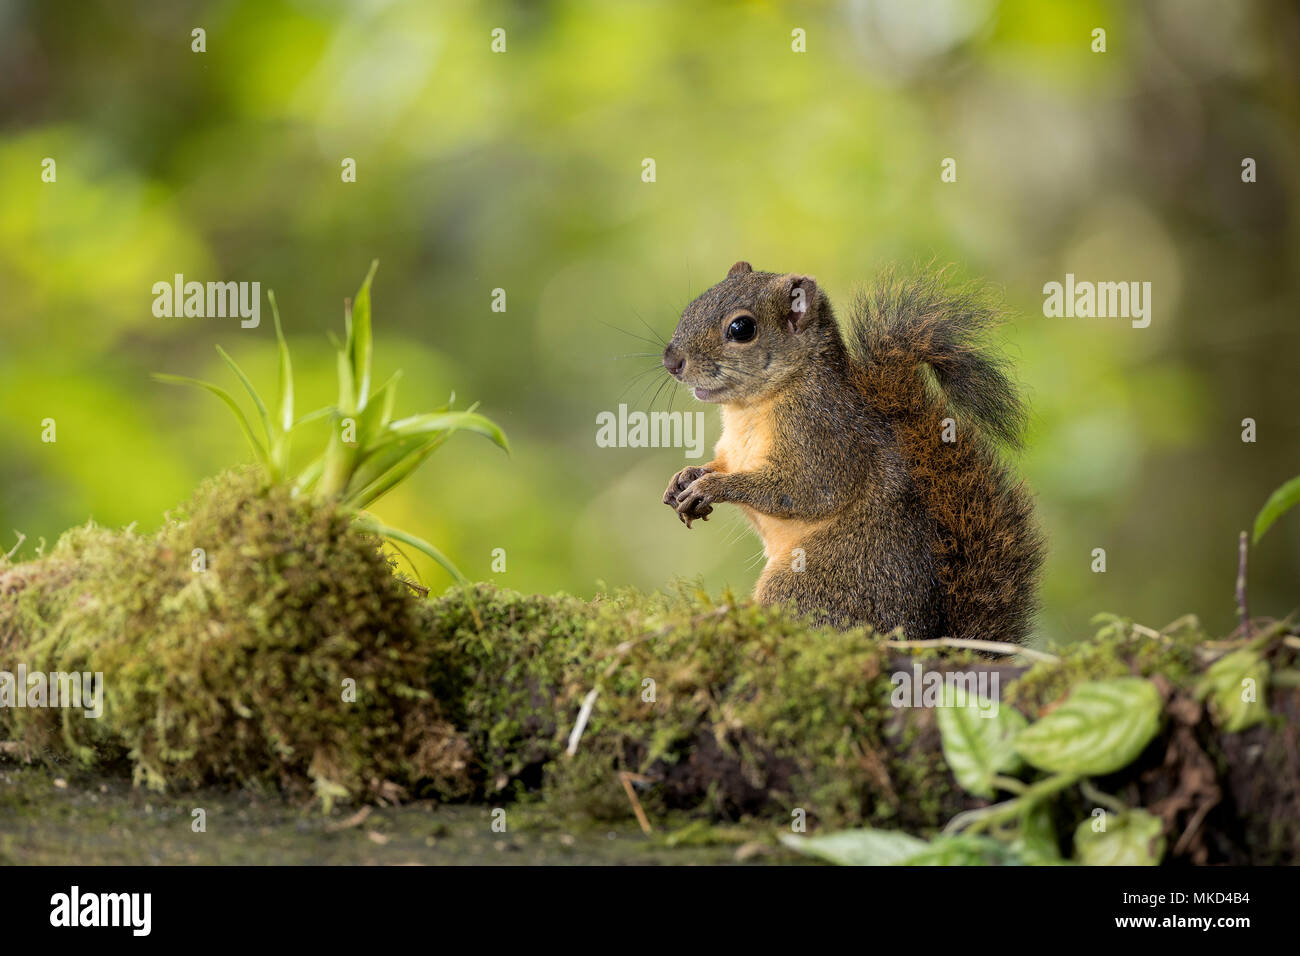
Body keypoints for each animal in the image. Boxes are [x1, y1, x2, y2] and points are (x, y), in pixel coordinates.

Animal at [660, 261, 1043, 643]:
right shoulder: (732, 451)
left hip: (811, 578)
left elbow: (808, 492)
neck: (750, 407)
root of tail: (922, 637)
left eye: (741, 328)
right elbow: (720, 464)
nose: (671, 361)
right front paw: (685, 477)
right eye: (693, 305)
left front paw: (712, 487)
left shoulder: (823, 437)